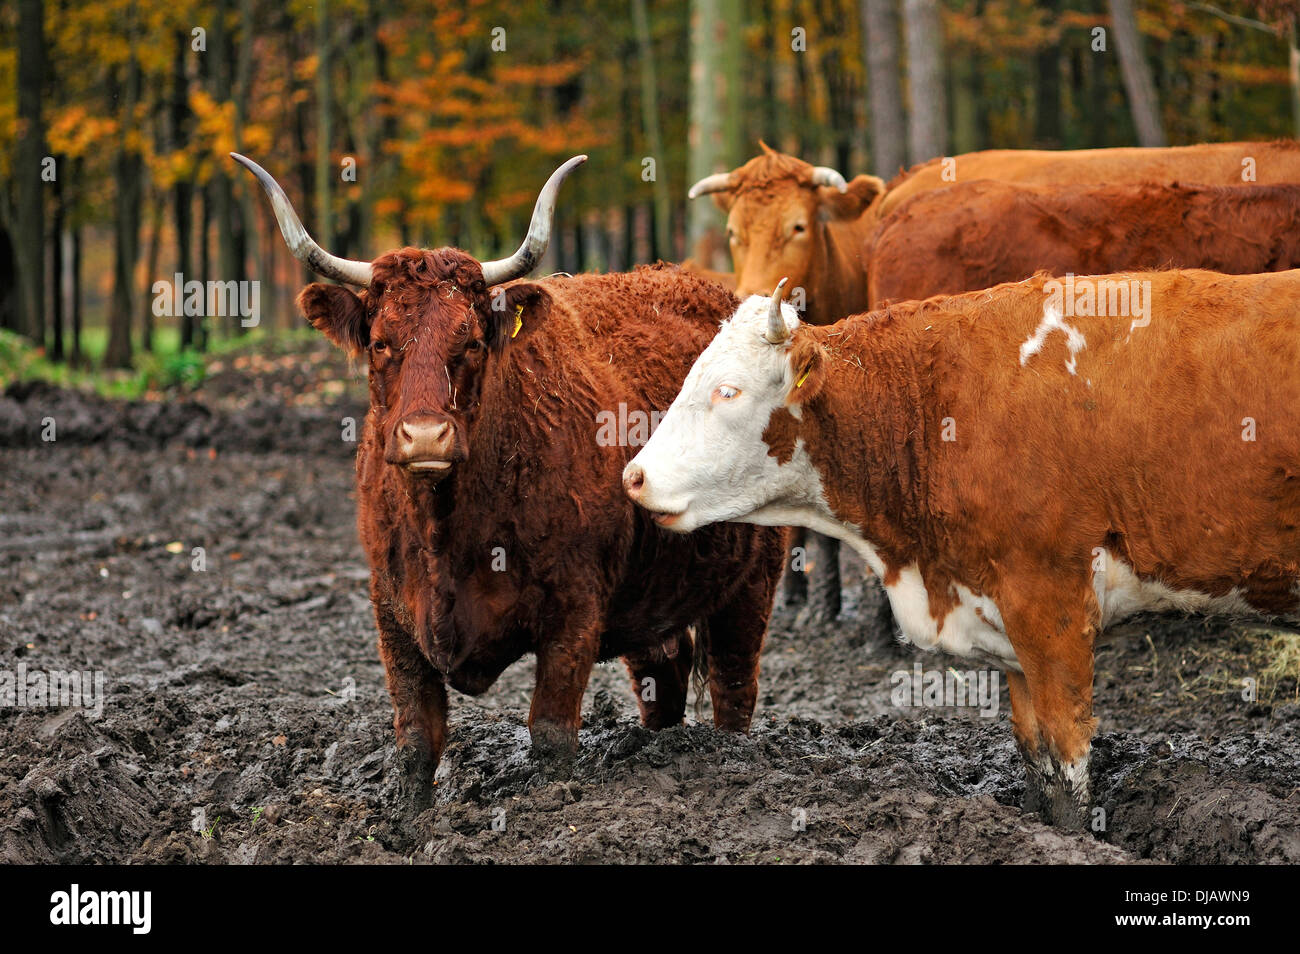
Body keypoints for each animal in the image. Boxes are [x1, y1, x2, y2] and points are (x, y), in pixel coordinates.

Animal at [232, 153, 787, 811]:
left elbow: (549, 733)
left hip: (751, 580)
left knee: (733, 687)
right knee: (665, 685)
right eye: (380, 343)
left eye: (471, 342)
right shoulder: (392, 613)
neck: (447, 531)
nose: (425, 437)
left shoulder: (575, 609)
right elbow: (416, 740)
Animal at [623, 271, 1300, 829]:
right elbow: (1037, 756)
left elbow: (1070, 763)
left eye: (728, 392)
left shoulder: (1051, 605)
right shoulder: (1006, 618)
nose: (633, 476)